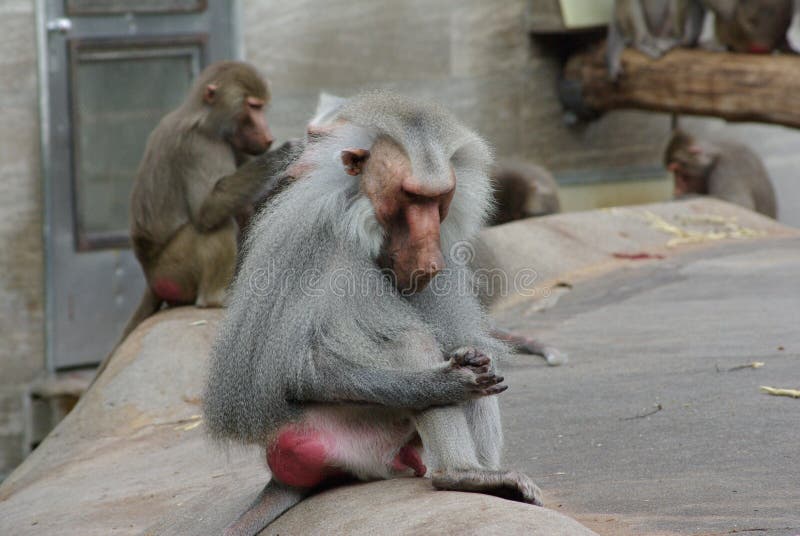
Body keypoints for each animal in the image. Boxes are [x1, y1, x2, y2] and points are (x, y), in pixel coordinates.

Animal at [203, 91, 543, 536]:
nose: (430, 258)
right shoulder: (316, 247)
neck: (362, 226)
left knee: (467, 352)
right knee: (409, 339)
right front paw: (441, 386)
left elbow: (465, 345)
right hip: (326, 431)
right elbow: (298, 372)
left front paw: (469, 363)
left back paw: (485, 474)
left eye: (438, 198)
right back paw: (459, 474)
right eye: (411, 197)